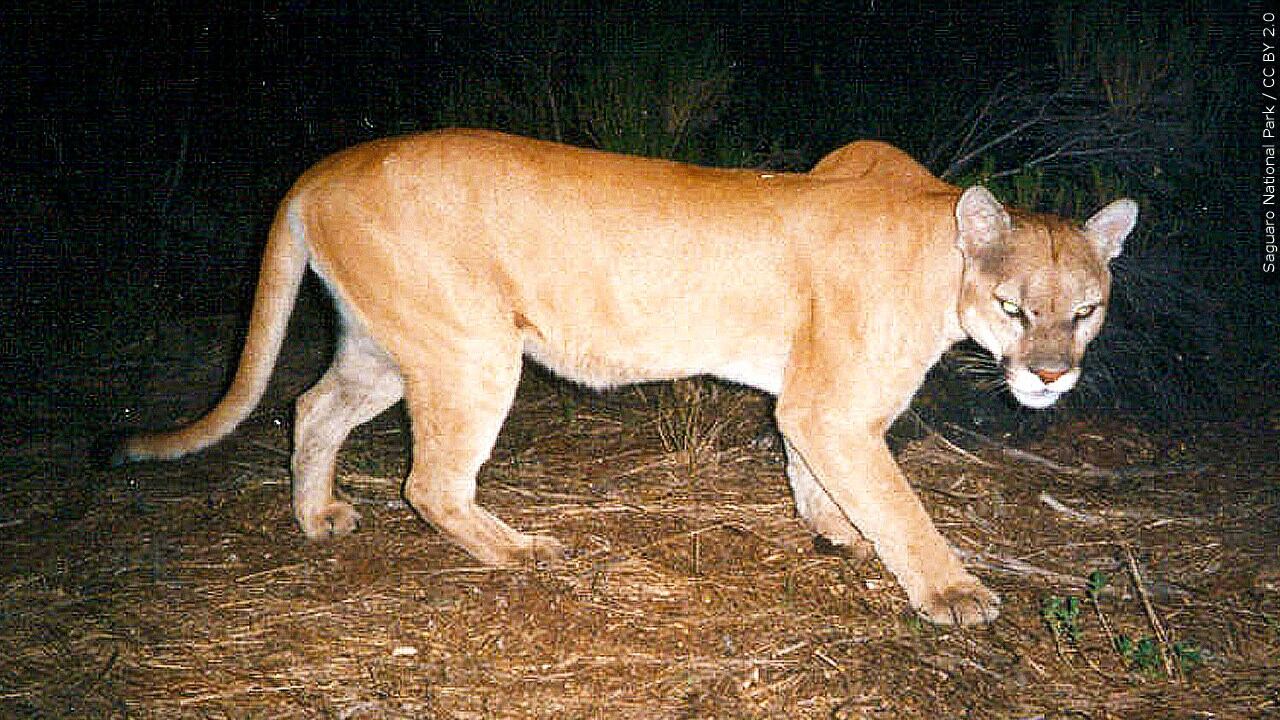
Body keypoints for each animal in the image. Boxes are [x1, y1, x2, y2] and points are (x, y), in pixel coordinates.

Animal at [115, 129, 1137, 626]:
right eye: (1016, 310)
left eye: (1085, 310)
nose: (1052, 376)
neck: (936, 247)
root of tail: (325, 167)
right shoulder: (834, 405)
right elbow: (900, 504)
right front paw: (952, 594)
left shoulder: (810, 406)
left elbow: (814, 468)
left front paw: (831, 529)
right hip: (471, 348)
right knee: (429, 481)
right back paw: (521, 552)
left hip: (383, 345)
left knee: (311, 405)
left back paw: (318, 516)